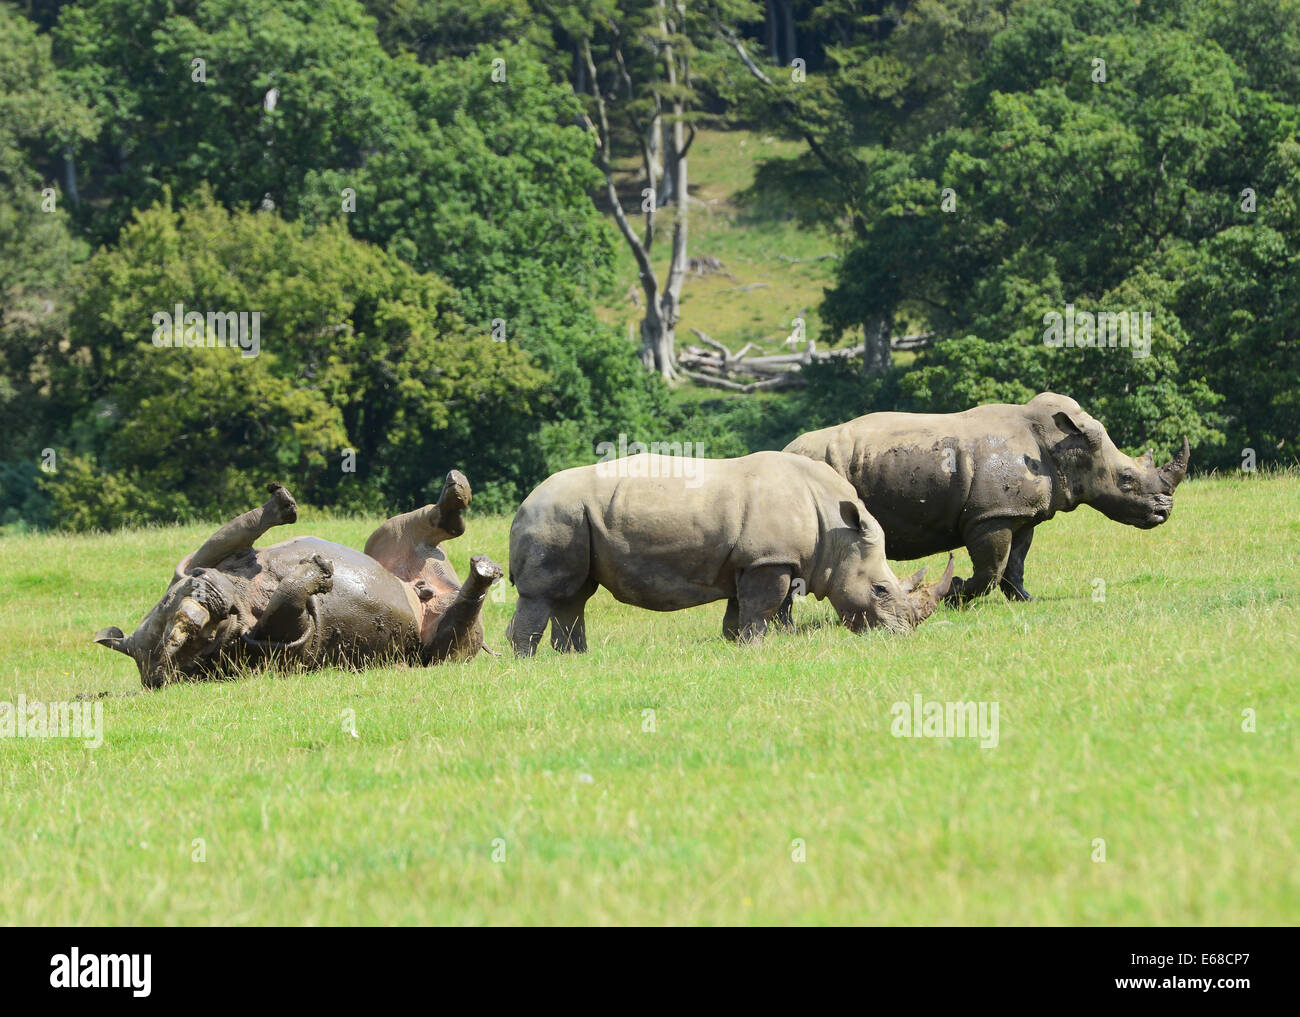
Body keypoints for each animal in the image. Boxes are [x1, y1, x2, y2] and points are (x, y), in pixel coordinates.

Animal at [94, 472, 502, 687]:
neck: (241, 599)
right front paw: (319, 572)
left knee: (418, 526)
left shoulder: (203, 559)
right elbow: (289, 601)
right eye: (191, 648)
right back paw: (482, 573)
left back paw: (456, 492)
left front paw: (284, 504)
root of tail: (433, 587)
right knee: (453, 629)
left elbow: (232, 532)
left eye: (169, 601)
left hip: (387, 543)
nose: (208, 601)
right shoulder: (283, 645)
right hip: (441, 646)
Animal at [505, 451, 953, 655]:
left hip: (573, 518)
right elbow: (762, 607)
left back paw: (573, 657)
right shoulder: (768, 559)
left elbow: (741, 609)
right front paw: (755, 649)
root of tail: (523, 503)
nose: (899, 635)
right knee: (544, 592)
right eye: (880, 590)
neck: (836, 532)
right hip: (555, 515)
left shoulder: (751, 560)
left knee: (574, 594)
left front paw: (735, 644)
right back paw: (528, 661)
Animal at [782, 393, 1189, 605]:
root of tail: (787, 448)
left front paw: (1024, 599)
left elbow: (1016, 562)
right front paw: (955, 595)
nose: (1164, 512)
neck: (1063, 446)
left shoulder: (1022, 513)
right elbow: (991, 568)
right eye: (1126, 480)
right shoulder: (991, 514)